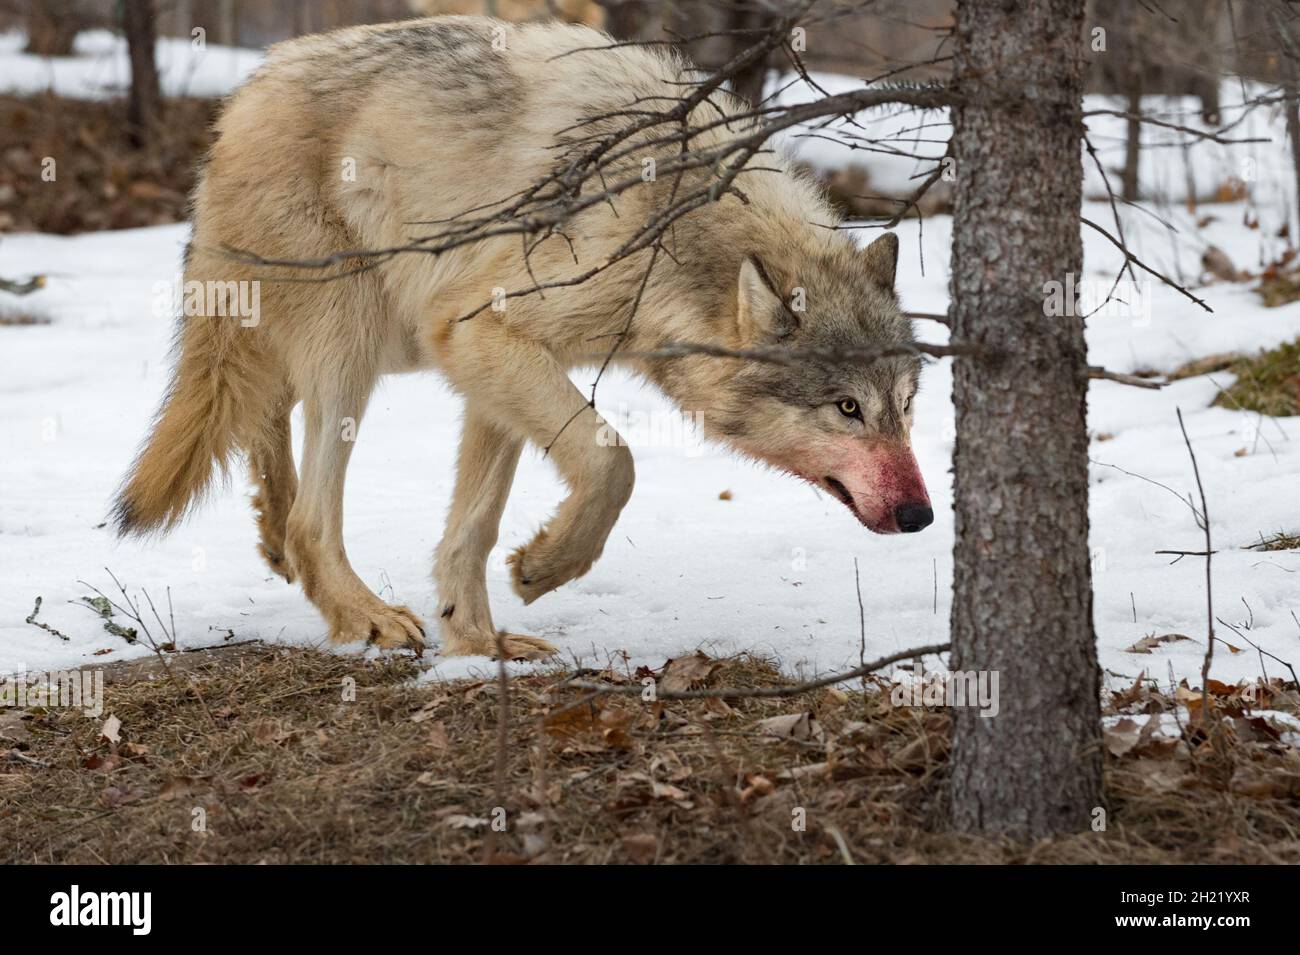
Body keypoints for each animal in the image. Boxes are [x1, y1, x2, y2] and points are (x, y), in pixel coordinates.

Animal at [113, 16, 932, 660]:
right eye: (846, 408)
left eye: (905, 407)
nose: (922, 516)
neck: (674, 225)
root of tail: (243, 96)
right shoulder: (480, 331)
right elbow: (613, 462)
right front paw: (545, 568)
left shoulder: (484, 358)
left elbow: (471, 528)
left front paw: (477, 643)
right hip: (358, 342)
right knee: (312, 512)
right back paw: (362, 613)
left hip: (392, 337)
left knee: (266, 422)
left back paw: (278, 540)